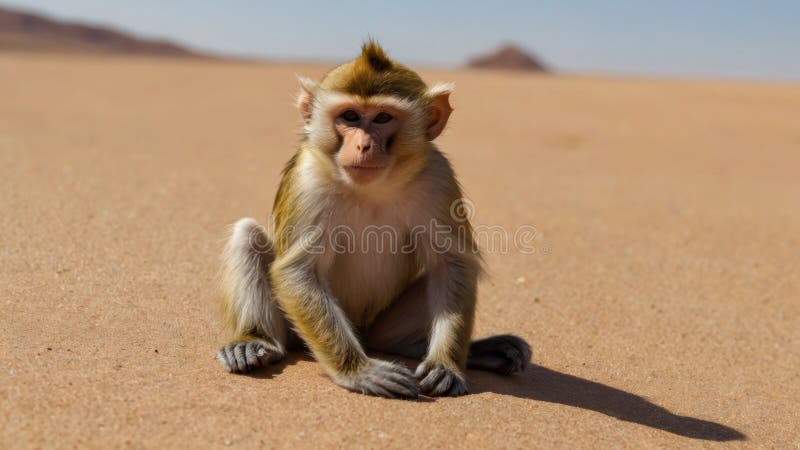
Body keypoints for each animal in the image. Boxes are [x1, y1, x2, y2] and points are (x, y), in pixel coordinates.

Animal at [216, 42, 531, 398]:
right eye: (350, 116)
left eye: (382, 117)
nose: (364, 145)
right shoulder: (308, 180)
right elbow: (298, 271)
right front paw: (360, 371)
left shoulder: (437, 176)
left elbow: (450, 264)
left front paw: (445, 365)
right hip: (297, 332)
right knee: (247, 235)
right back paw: (255, 341)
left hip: (381, 325)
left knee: (391, 330)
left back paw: (466, 350)